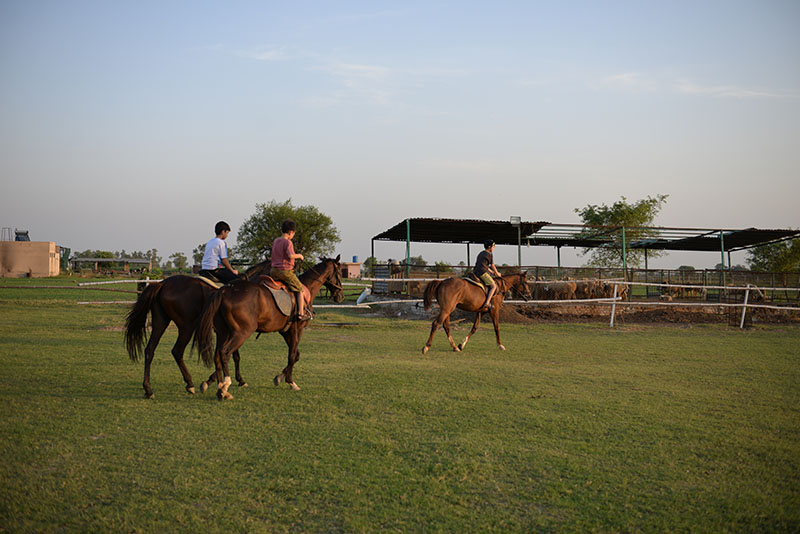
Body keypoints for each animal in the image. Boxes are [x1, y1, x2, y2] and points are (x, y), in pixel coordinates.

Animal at [124, 261, 271, 399]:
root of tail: (162, 284)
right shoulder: (234, 332)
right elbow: (231, 355)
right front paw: (215, 381)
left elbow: (232, 355)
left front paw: (235, 380)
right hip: (186, 327)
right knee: (177, 351)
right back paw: (189, 384)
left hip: (160, 322)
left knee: (150, 350)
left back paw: (148, 389)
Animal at [196, 256, 343, 400]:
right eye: (339, 273)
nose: (340, 296)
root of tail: (224, 290)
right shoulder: (297, 330)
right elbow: (292, 355)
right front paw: (290, 381)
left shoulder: (285, 332)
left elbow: (296, 355)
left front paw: (279, 378)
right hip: (241, 333)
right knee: (225, 353)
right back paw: (225, 387)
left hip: (223, 332)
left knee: (217, 355)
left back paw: (220, 386)